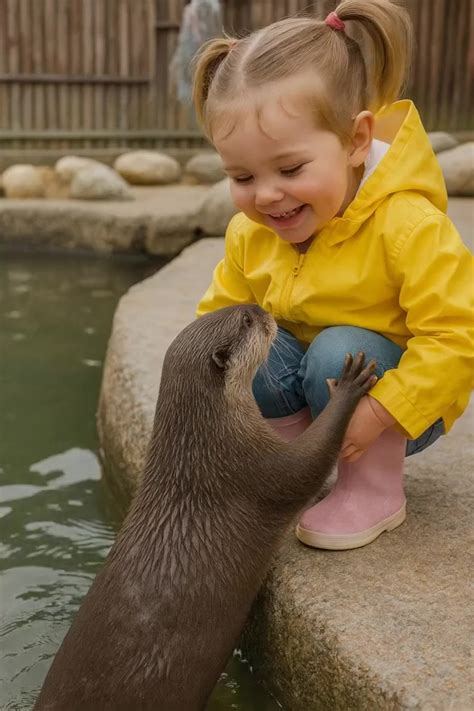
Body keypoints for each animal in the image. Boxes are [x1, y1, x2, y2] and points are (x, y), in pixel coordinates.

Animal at [34, 304, 376, 711]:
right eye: (247, 320)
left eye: (243, 308)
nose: (264, 310)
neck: (205, 441)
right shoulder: (251, 463)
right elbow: (307, 464)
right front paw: (348, 386)